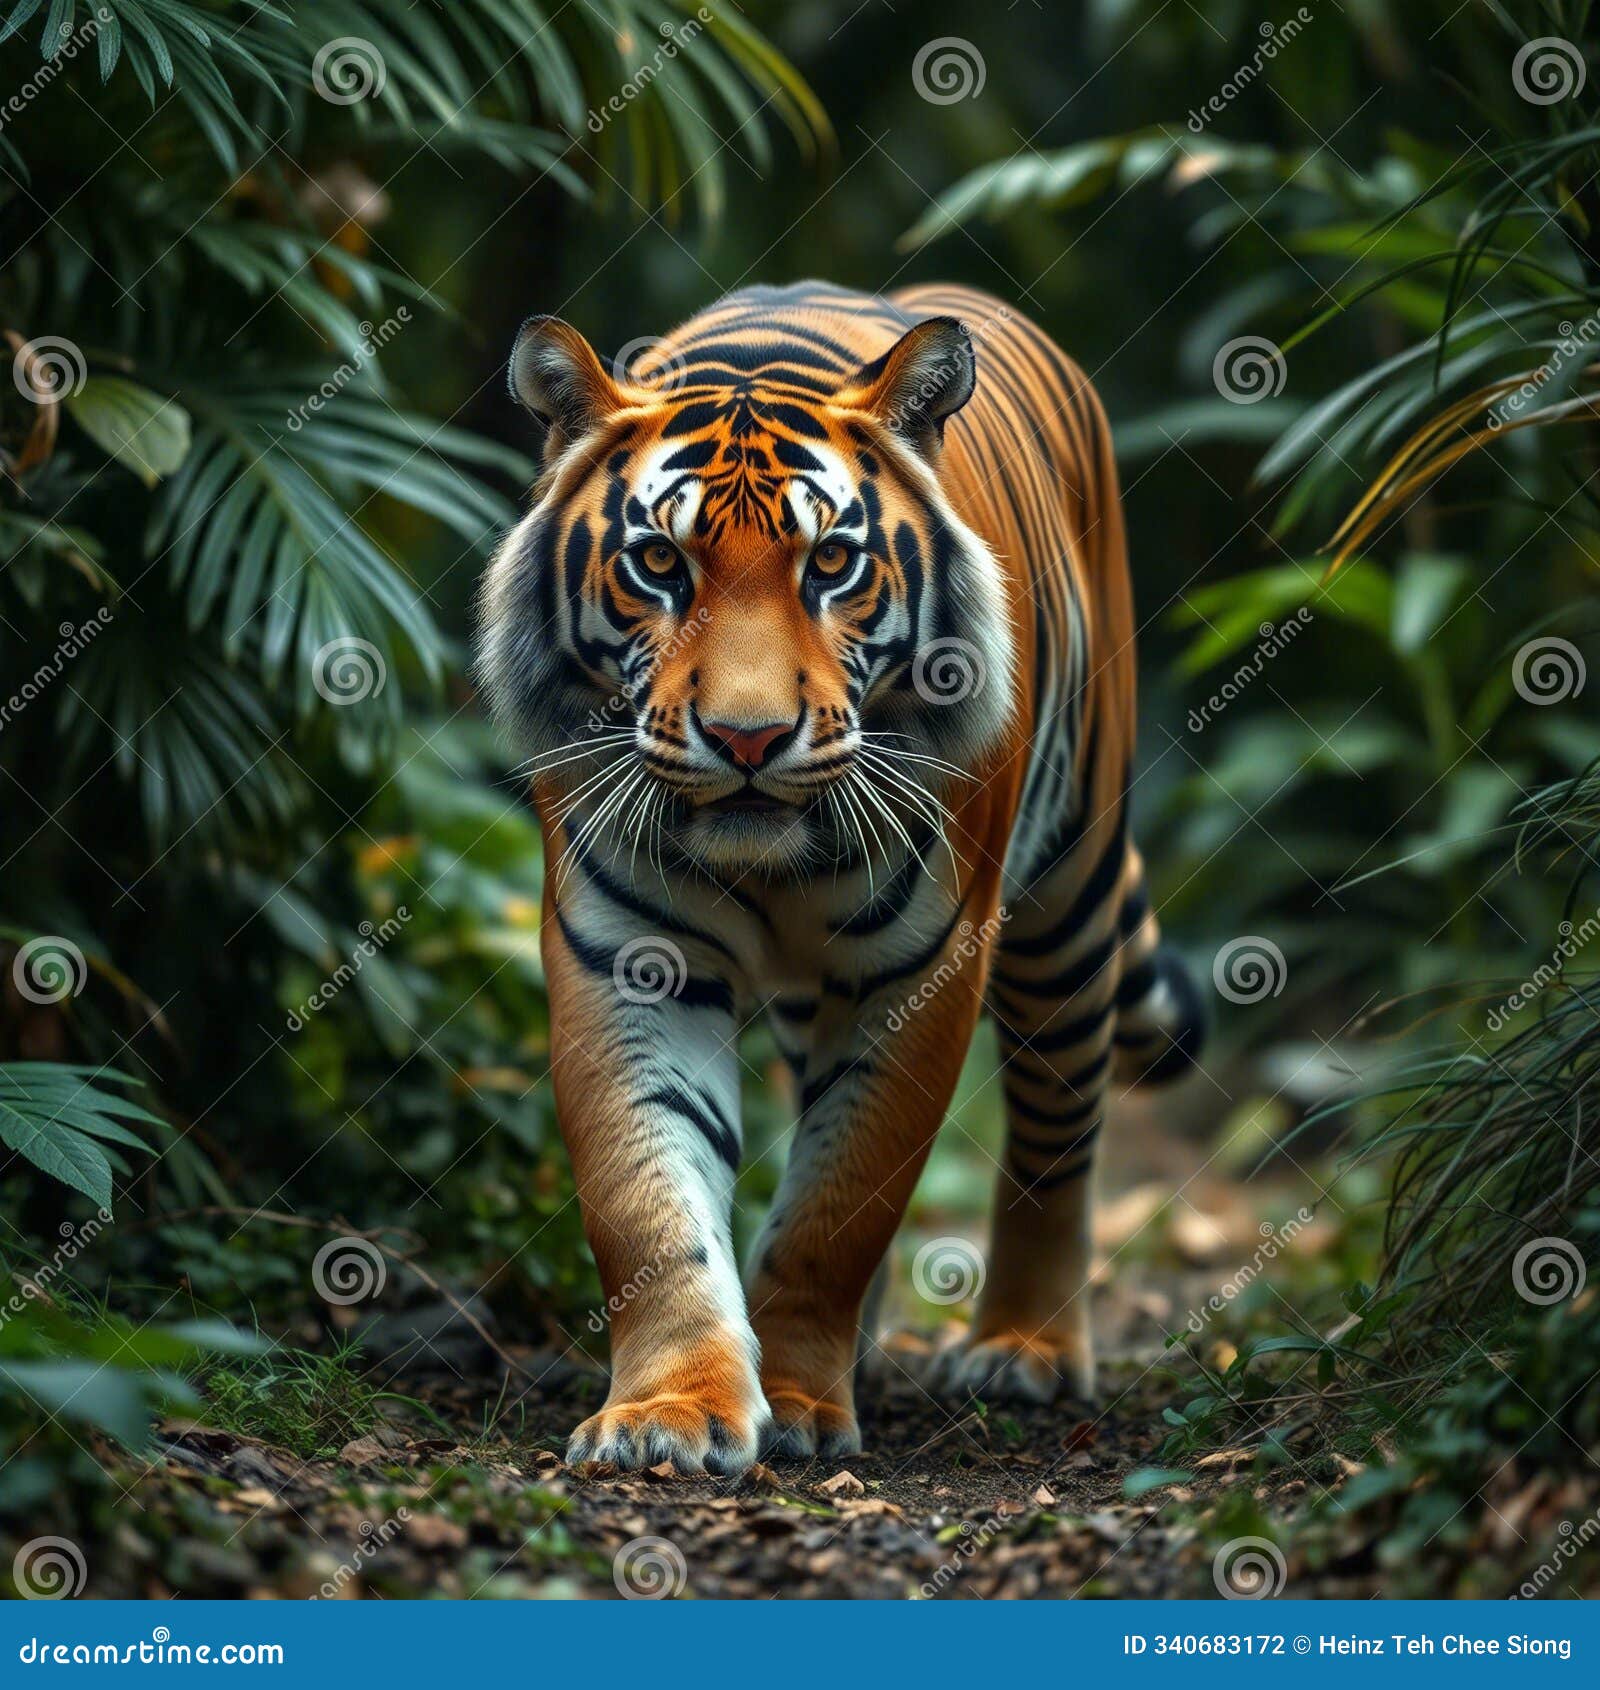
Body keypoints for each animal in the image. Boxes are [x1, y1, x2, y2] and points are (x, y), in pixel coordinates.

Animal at [476, 281, 1204, 1475]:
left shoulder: (925, 968)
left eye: (829, 566)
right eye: (660, 565)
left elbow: (843, 1201)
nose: (748, 738)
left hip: (1069, 898)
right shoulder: (626, 957)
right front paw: (672, 1411)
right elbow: (644, 1197)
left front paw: (801, 1403)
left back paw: (1024, 1349)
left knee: (1058, 1131)